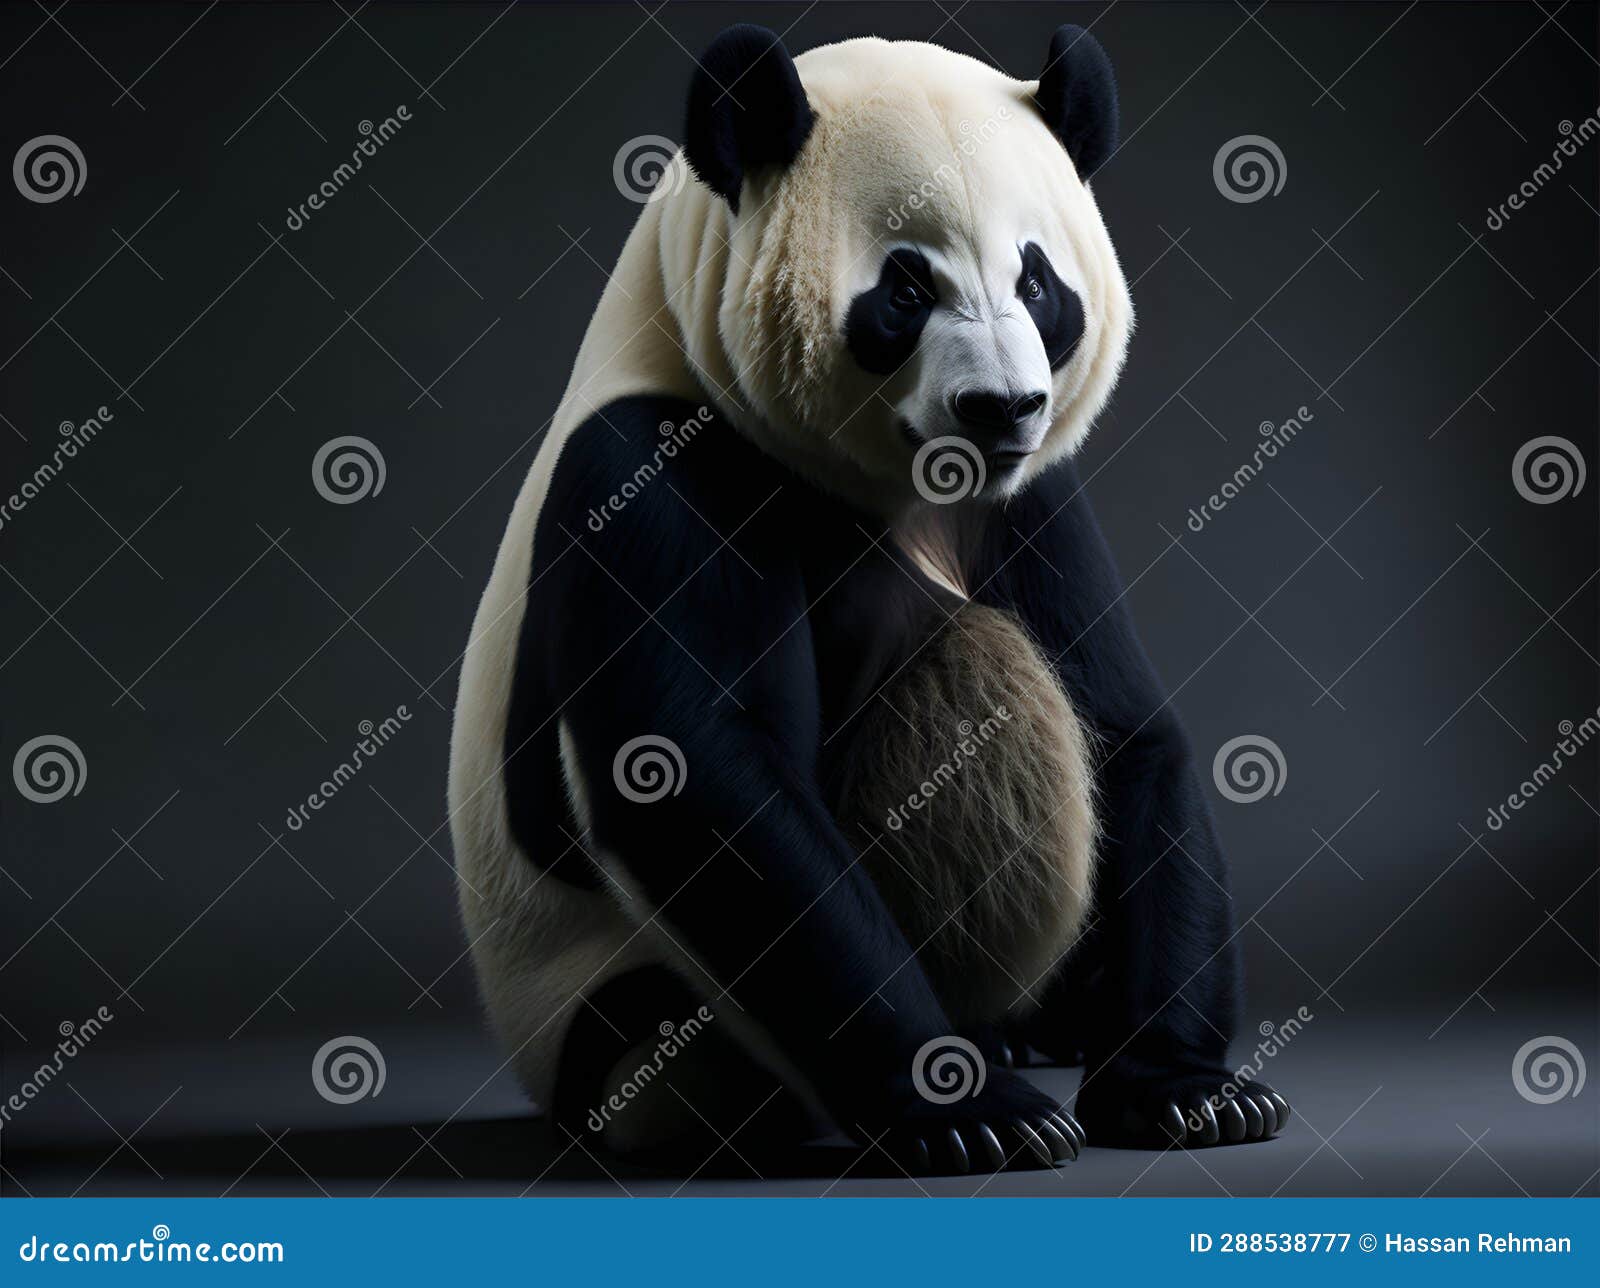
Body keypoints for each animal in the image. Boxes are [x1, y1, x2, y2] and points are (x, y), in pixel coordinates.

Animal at [448, 23, 1290, 1176]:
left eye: (1038, 285)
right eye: (905, 291)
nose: (1000, 408)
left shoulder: (1032, 500)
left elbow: (1125, 729)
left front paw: (1183, 1088)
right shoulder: (650, 471)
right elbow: (701, 777)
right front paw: (968, 1107)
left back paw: (1040, 1024)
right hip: (635, 1020)